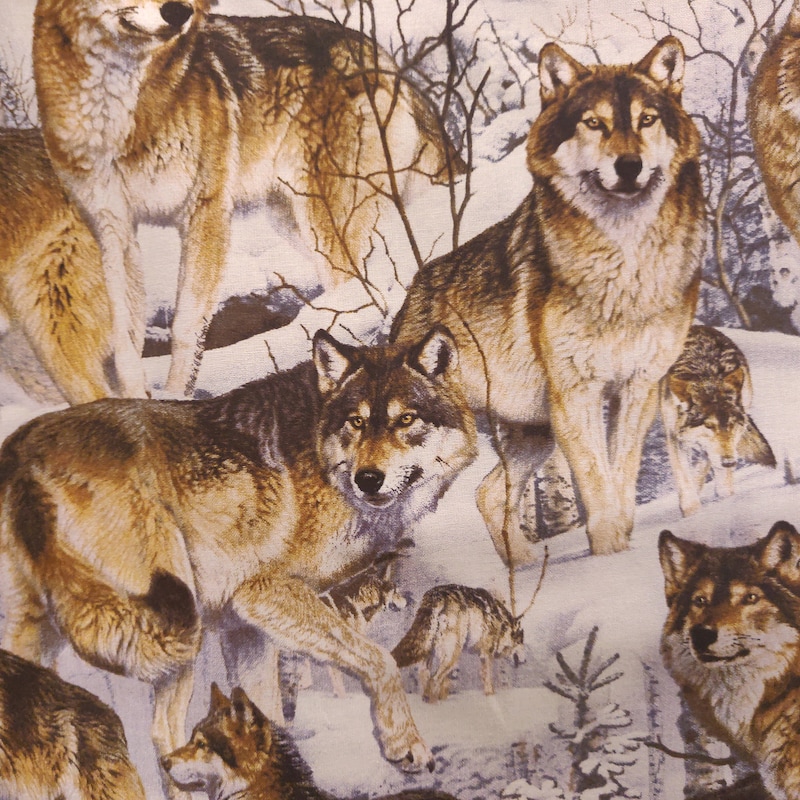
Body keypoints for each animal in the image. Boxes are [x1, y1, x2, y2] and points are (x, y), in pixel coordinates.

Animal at [33, 0, 463, 398]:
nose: (179, 12)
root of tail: (384, 59)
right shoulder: (113, 226)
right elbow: (125, 336)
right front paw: (135, 399)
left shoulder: (204, 213)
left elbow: (186, 324)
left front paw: (176, 398)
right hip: (293, 222)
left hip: (326, 222)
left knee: (367, 295)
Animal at [391, 37, 706, 562]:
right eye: (594, 123)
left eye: (646, 119)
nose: (628, 166)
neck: (625, 265)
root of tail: (412, 291)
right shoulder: (576, 395)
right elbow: (597, 487)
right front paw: (609, 560)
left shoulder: (638, 388)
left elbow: (620, 481)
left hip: (533, 436)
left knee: (488, 494)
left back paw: (521, 571)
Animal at [391, 584, 525, 703]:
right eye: (522, 643)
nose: (525, 660)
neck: (502, 624)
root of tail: (437, 595)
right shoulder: (486, 655)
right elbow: (487, 679)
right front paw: (490, 696)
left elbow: (446, 682)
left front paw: (444, 697)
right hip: (452, 654)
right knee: (434, 679)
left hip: (431, 651)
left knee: (425, 674)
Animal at [660, 325, 776, 516]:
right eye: (708, 425)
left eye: (732, 424)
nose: (729, 462)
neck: (708, 374)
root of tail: (697, 326)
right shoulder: (674, 437)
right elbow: (686, 485)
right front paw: (692, 515)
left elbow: (722, 485)